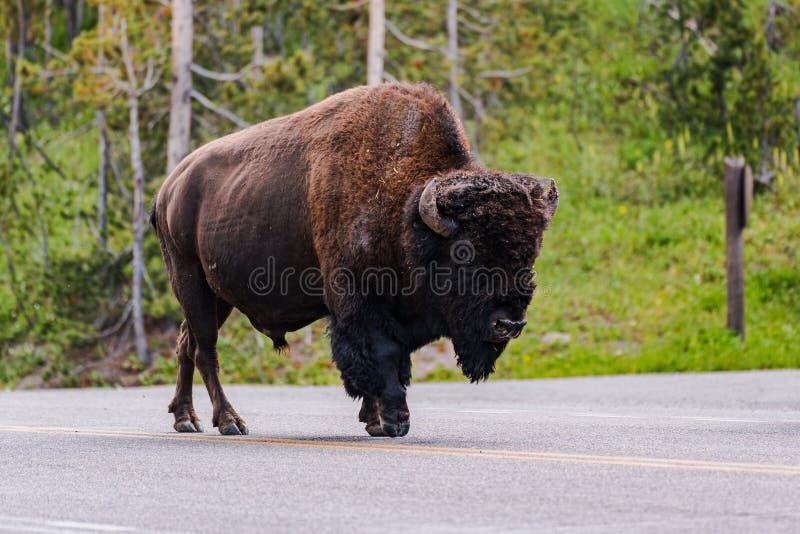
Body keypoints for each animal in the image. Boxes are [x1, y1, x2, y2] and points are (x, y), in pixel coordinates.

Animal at [151, 83, 558, 437]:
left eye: (530, 250)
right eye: (464, 251)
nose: (509, 324)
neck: (403, 207)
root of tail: (168, 188)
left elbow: (394, 364)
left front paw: (375, 421)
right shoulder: (359, 305)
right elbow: (383, 358)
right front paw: (394, 423)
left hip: (218, 296)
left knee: (187, 343)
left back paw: (186, 419)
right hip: (191, 282)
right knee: (206, 350)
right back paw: (230, 422)